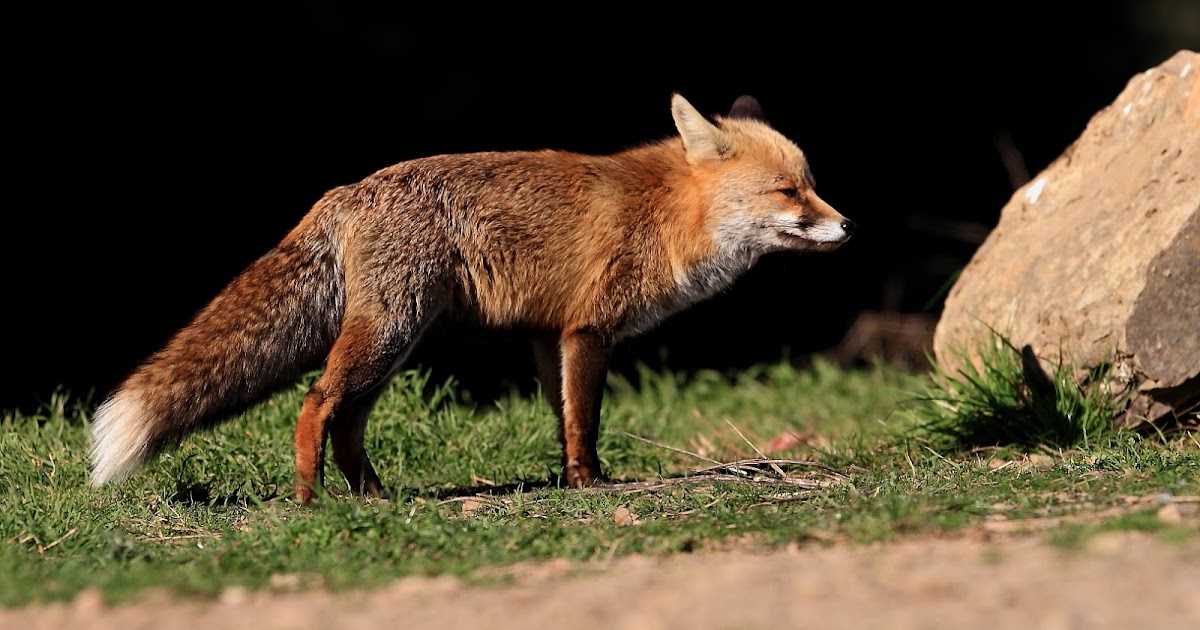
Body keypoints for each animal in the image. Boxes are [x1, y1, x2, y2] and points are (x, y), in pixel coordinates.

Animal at [89, 93, 855, 504]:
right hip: (389, 334)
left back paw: (371, 498)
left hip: (396, 344)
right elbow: (586, 422)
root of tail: (343, 191)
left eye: (812, 185)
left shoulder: (549, 335)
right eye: (789, 192)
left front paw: (573, 479)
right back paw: (310, 499)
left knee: (347, 419)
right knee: (316, 402)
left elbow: (565, 419)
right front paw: (590, 485)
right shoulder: (588, 330)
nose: (848, 226)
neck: (670, 212)